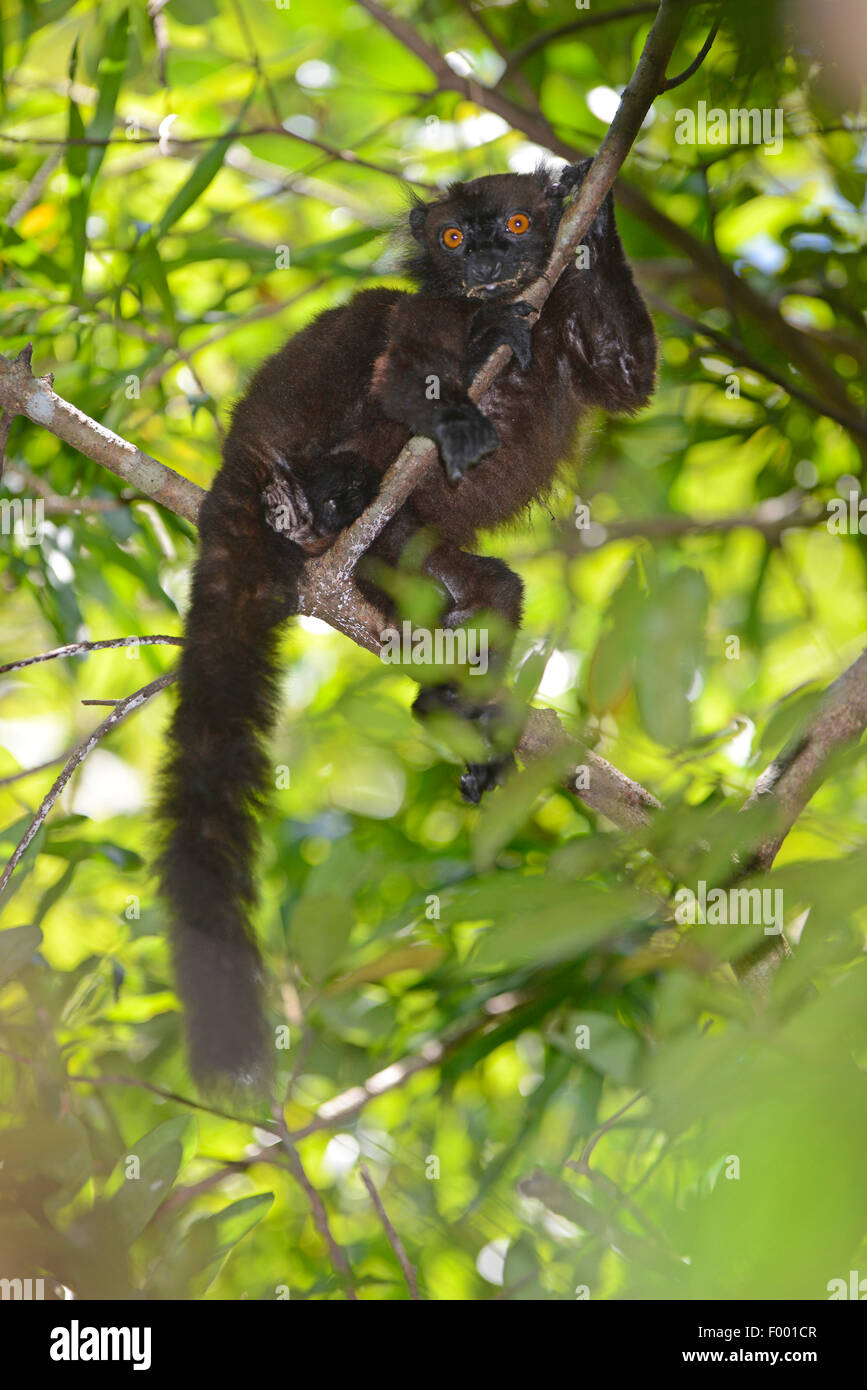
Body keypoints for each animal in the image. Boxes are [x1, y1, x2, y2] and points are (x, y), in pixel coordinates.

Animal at [156, 159, 657, 1092]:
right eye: (454, 238)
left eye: (517, 223)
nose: (487, 261)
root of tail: (236, 466)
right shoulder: (431, 315)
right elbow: (404, 377)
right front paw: (468, 386)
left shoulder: (572, 322)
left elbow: (626, 376)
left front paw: (595, 204)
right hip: (311, 441)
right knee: (370, 334)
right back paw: (330, 494)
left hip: (399, 556)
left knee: (488, 590)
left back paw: (454, 711)